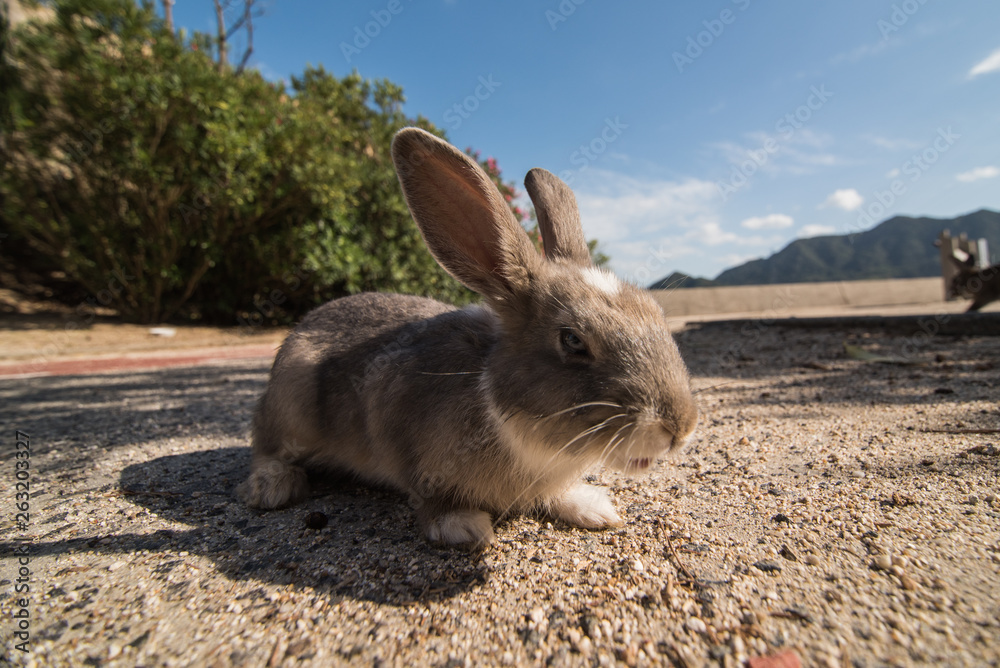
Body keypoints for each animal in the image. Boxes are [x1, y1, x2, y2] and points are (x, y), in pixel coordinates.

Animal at [237, 127, 698, 547]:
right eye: (572, 340)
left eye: (655, 312)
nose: (679, 427)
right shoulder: (406, 446)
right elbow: (431, 502)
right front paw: (464, 528)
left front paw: (593, 508)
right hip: (291, 407)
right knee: (263, 443)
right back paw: (274, 487)